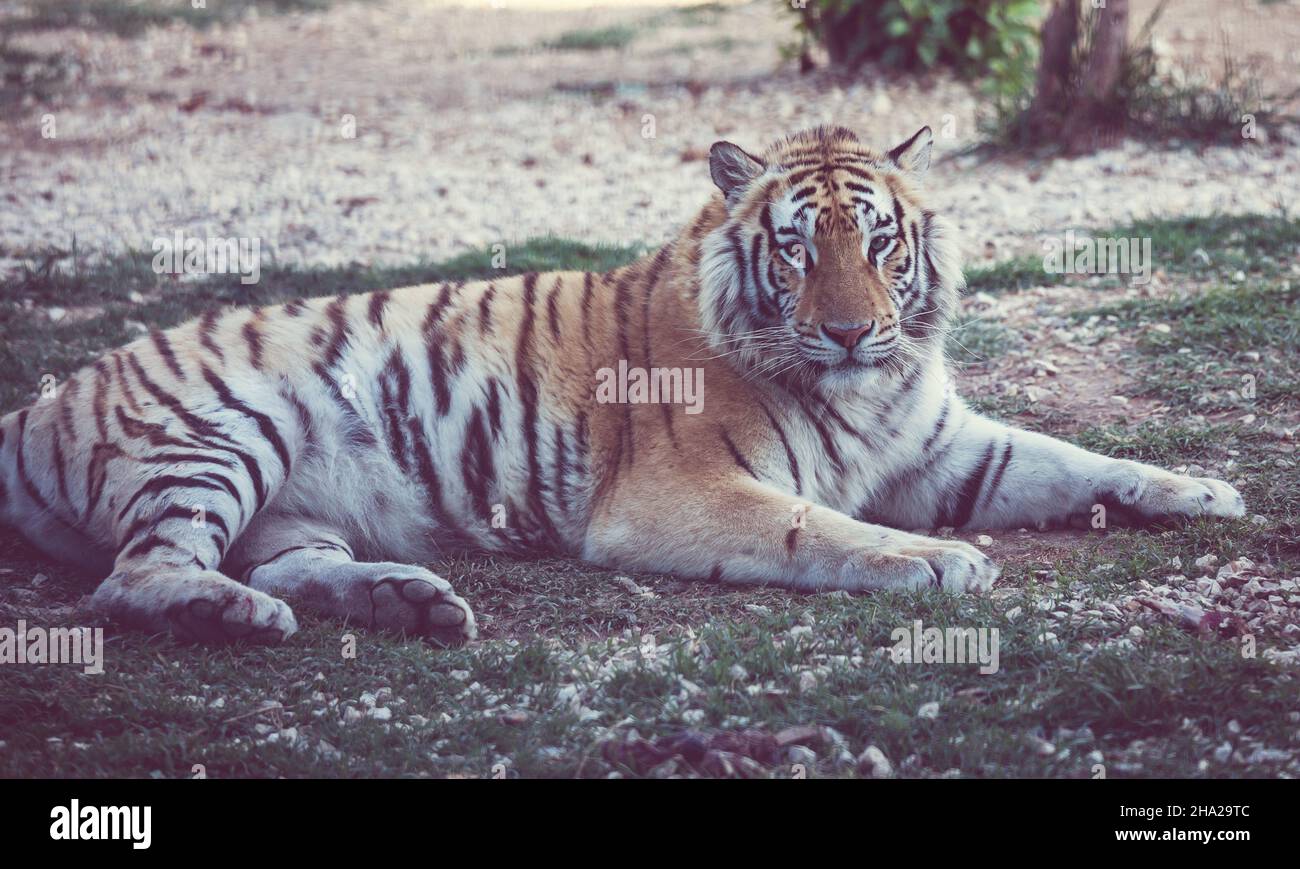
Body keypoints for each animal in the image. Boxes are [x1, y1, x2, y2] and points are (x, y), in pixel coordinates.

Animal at [0, 125, 1246, 645]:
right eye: (798, 247)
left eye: (881, 241)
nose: (850, 331)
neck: (870, 389)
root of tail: (45, 396)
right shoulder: (679, 494)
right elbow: (817, 528)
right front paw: (936, 559)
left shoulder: (943, 445)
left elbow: (1072, 457)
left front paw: (1201, 490)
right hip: (222, 433)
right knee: (131, 580)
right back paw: (238, 615)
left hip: (290, 504)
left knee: (284, 560)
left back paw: (405, 600)